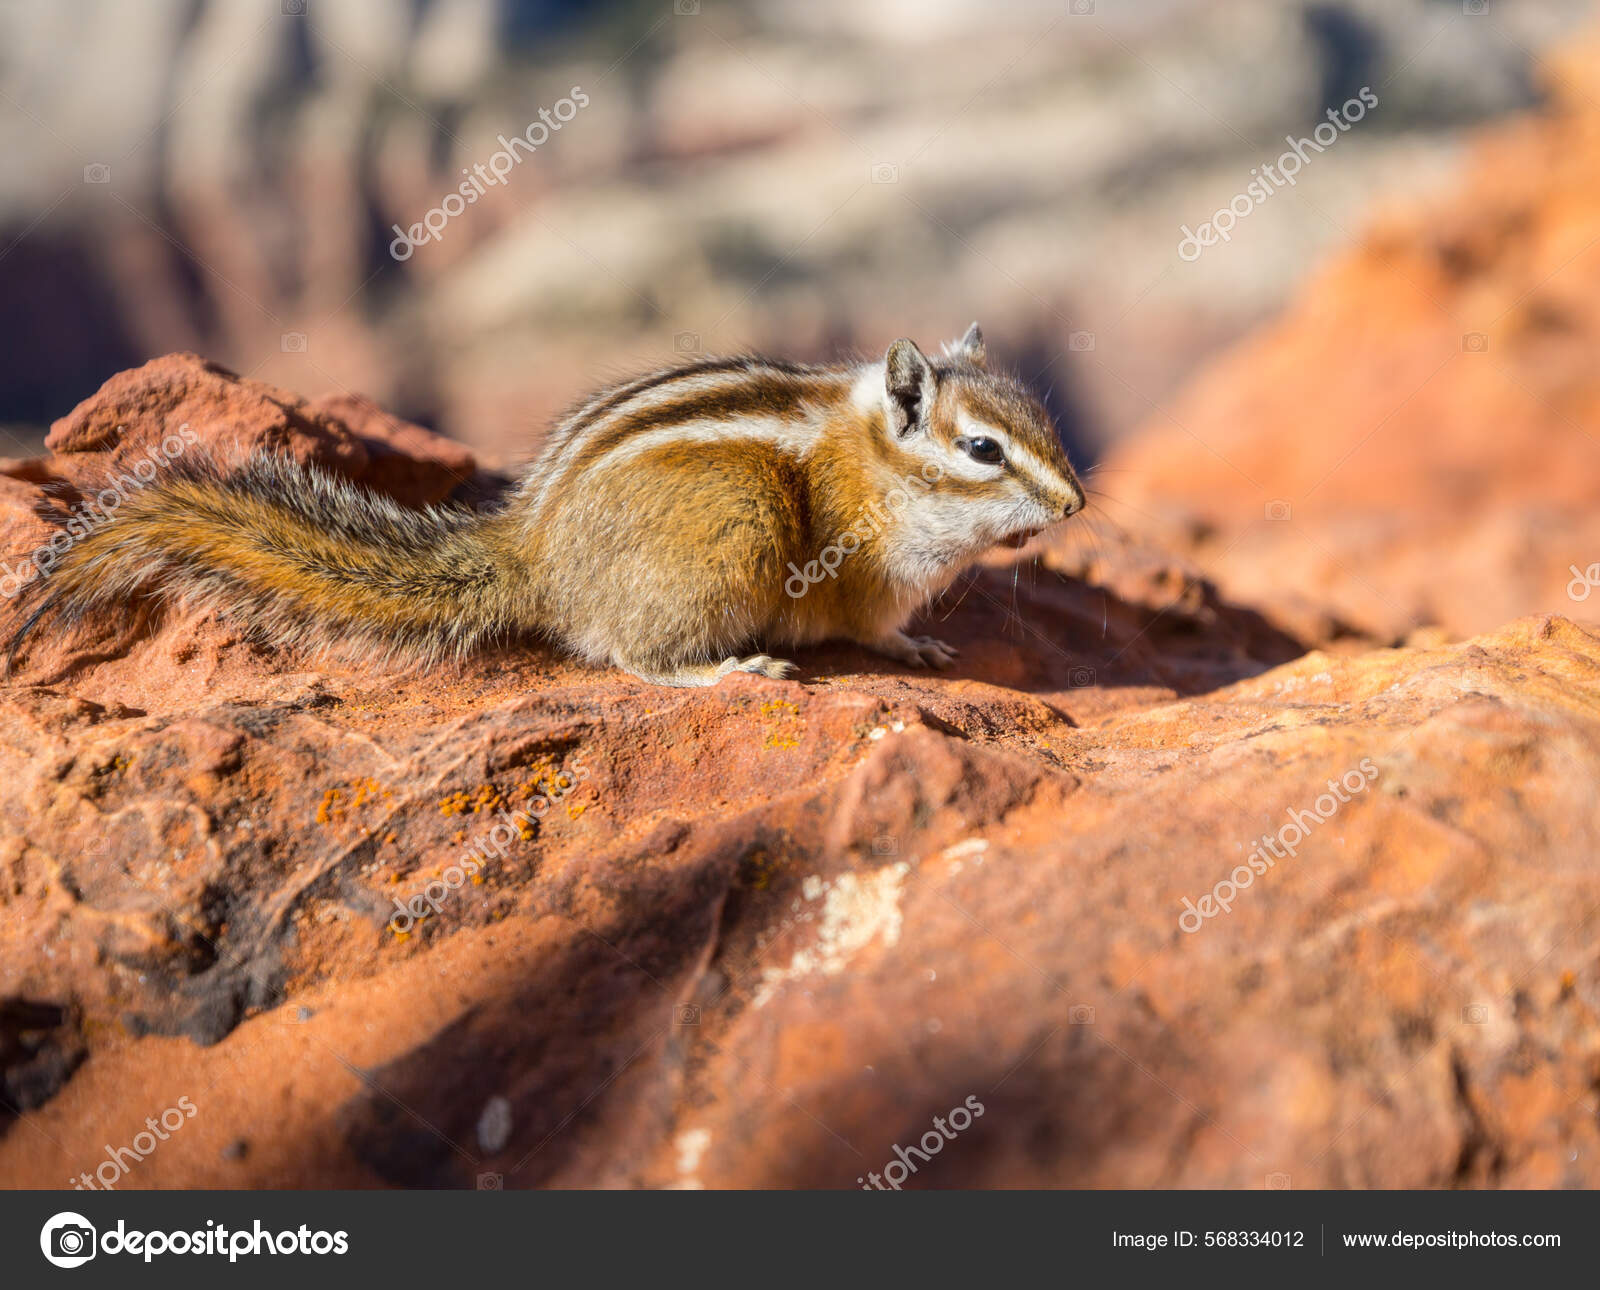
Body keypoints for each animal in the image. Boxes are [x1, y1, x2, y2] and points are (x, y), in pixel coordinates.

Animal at [7, 325, 1084, 687]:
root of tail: (533, 554)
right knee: (632, 659)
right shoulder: (867, 575)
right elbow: (874, 626)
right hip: (738, 531)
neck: (878, 465)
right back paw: (731, 669)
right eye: (982, 450)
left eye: (1041, 417)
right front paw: (917, 647)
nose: (1077, 504)